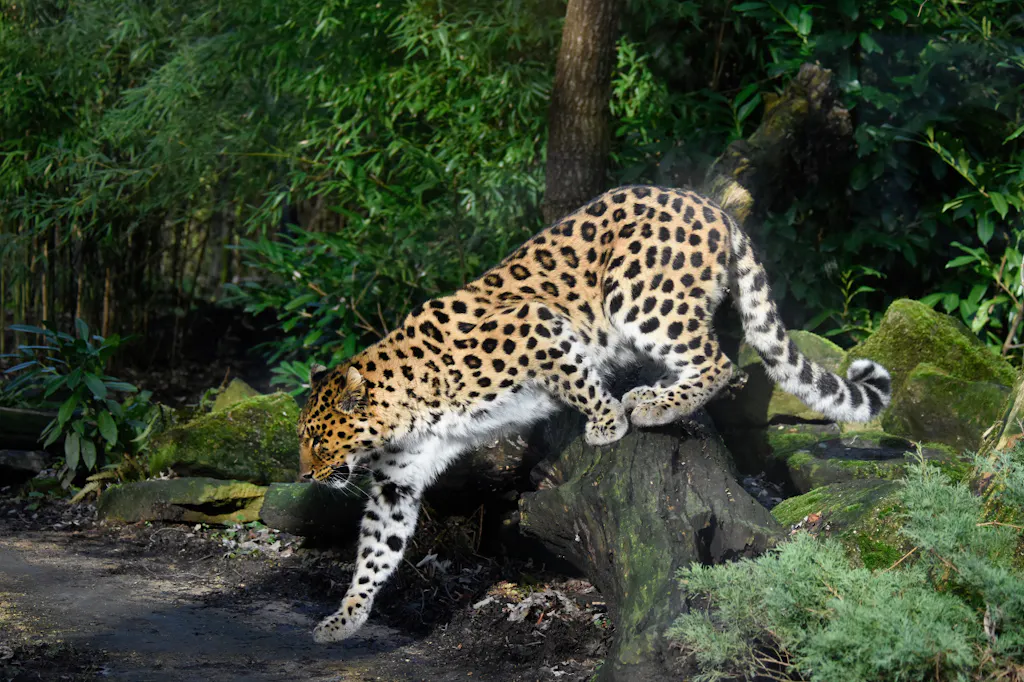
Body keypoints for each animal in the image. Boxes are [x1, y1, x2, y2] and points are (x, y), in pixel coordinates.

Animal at [297, 184, 891, 643]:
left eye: (320, 441)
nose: (304, 475)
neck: (405, 413)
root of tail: (706, 202)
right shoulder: (397, 480)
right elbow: (377, 548)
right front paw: (345, 618)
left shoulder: (535, 326)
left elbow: (576, 376)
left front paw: (606, 424)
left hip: (641, 295)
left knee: (719, 361)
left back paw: (651, 406)